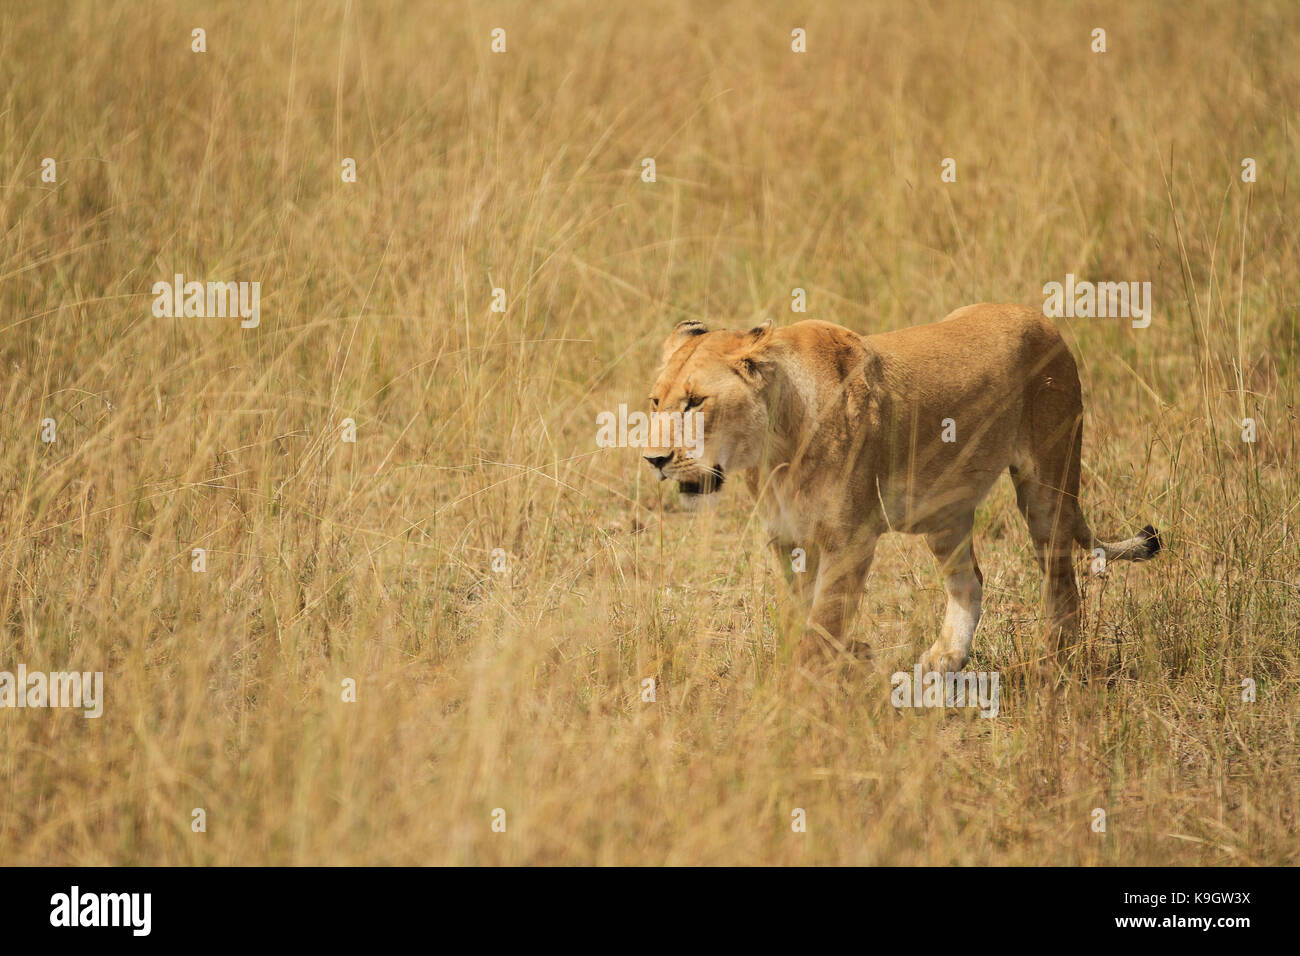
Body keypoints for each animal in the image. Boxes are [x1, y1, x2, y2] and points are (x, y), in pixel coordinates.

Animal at [643, 303, 1162, 672]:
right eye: (655, 401)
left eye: (695, 402)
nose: (655, 460)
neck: (774, 451)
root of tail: (1044, 321)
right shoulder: (788, 540)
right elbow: (798, 621)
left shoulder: (850, 541)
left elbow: (820, 628)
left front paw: (801, 699)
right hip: (946, 512)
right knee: (970, 580)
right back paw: (945, 661)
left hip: (1048, 485)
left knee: (1063, 587)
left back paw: (1051, 667)